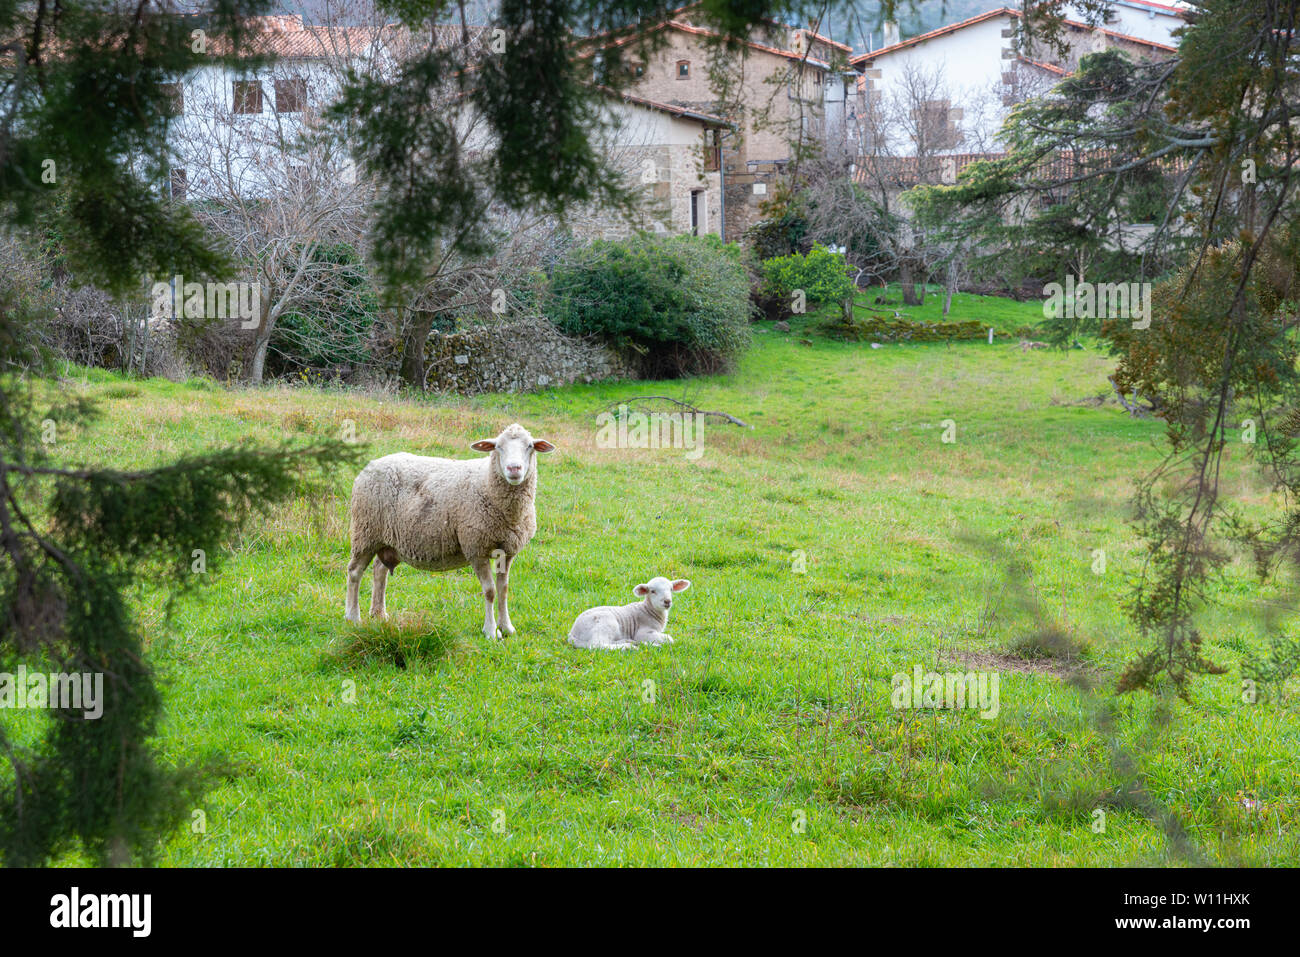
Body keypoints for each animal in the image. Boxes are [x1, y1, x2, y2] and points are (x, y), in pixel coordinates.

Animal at [344, 423, 556, 639]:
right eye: (498, 447)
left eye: (529, 446)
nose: (514, 469)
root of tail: (370, 465)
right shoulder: (475, 547)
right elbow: (490, 591)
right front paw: (490, 631)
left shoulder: (507, 551)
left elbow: (503, 589)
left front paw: (506, 627)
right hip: (365, 532)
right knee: (354, 572)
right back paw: (353, 617)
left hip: (387, 538)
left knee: (379, 570)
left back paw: (379, 614)